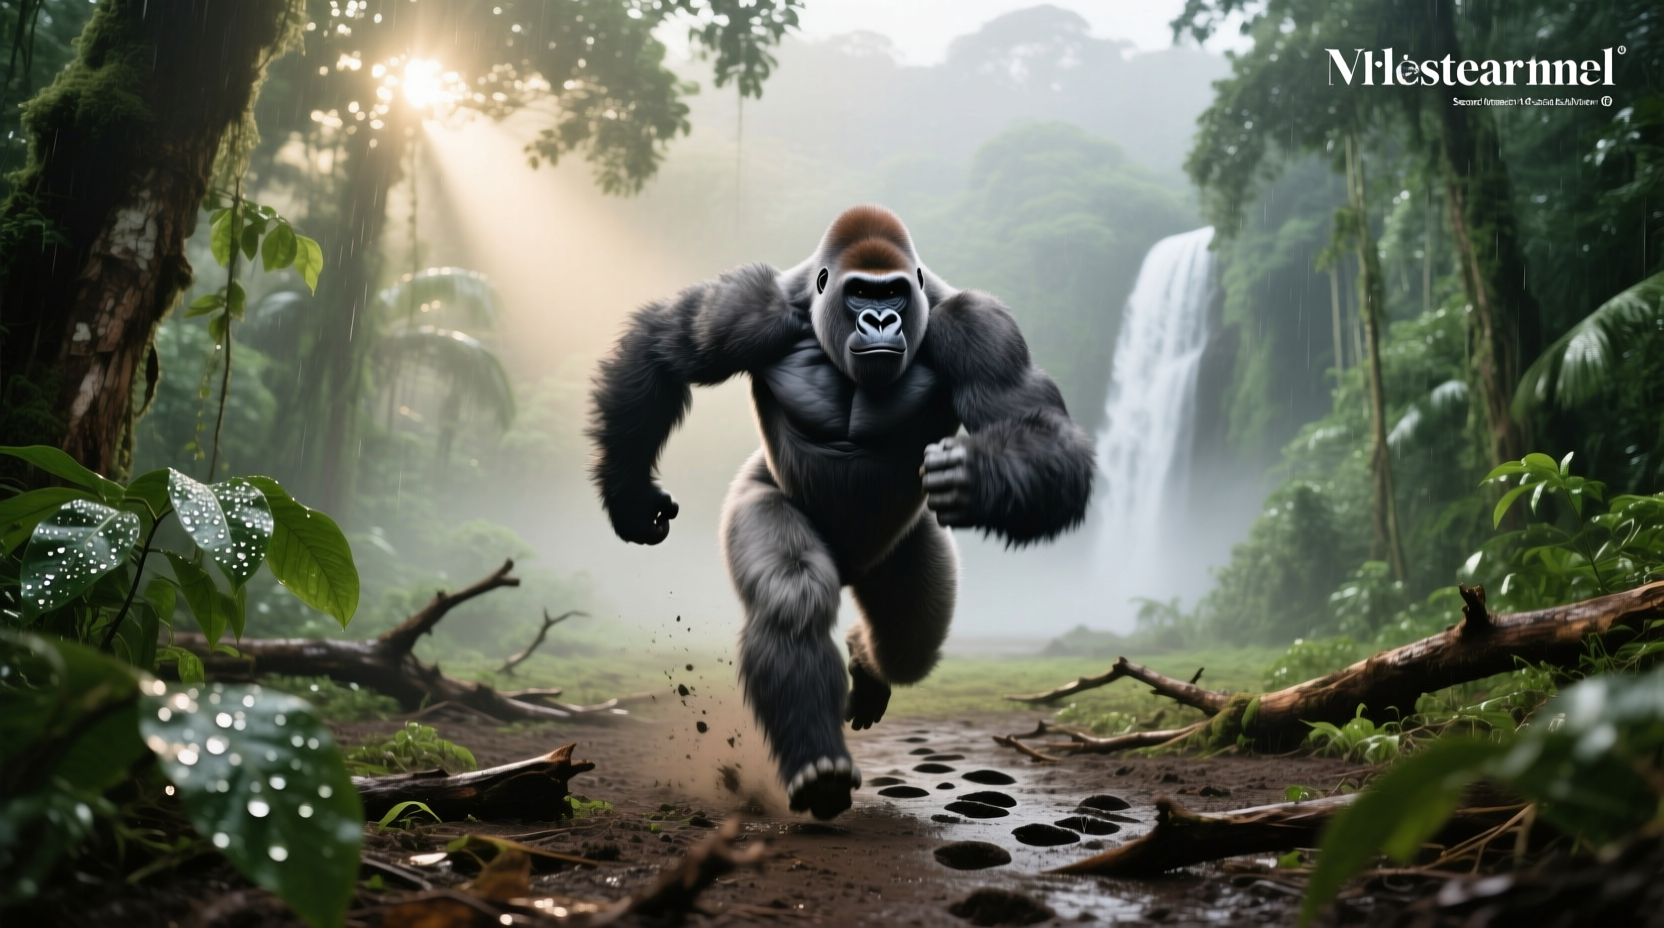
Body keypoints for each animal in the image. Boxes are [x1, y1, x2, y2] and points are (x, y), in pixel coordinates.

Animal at [589, 205, 1094, 819]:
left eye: (893, 292)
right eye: (860, 293)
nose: (879, 319)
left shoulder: (979, 327)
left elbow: (1039, 427)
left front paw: (979, 475)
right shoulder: (750, 307)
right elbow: (664, 349)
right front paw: (629, 496)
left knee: (908, 644)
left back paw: (867, 666)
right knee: (798, 595)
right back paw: (819, 765)